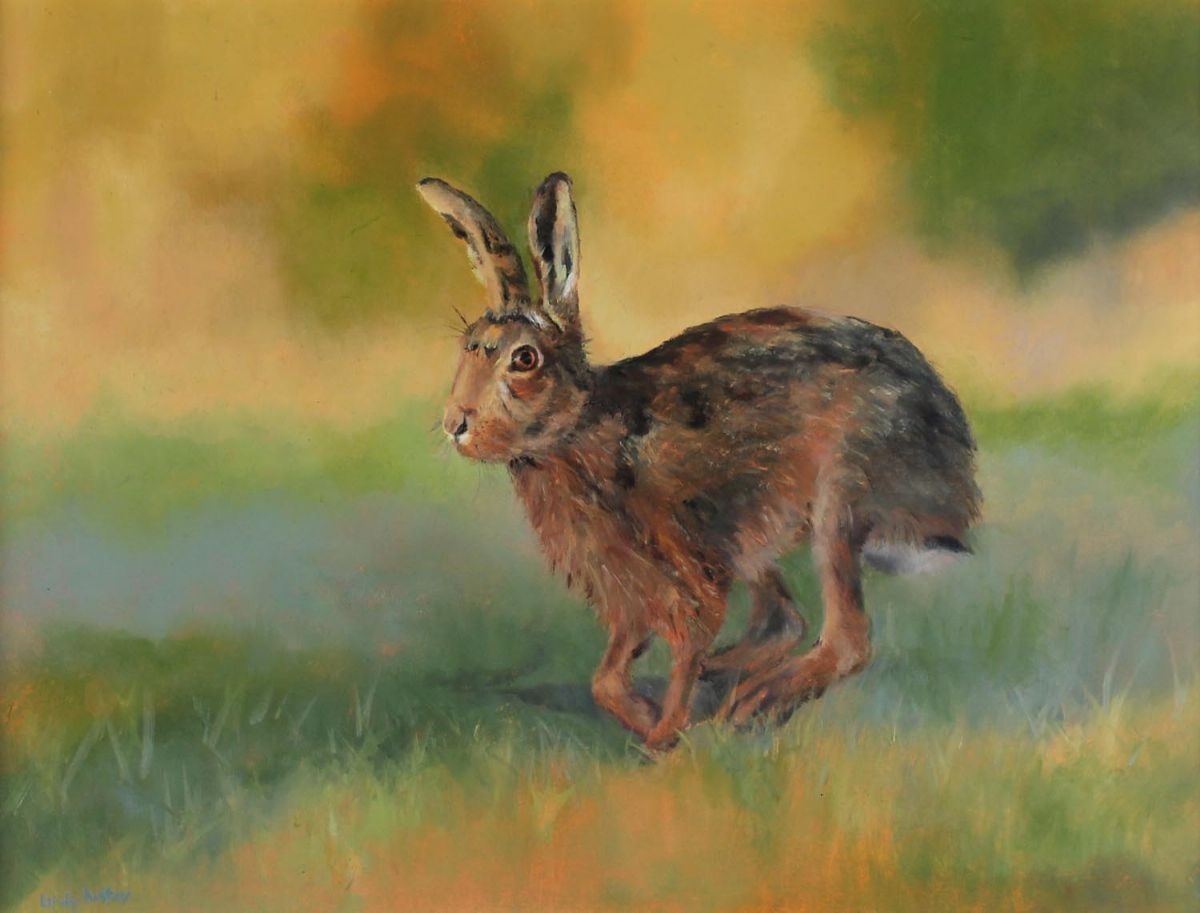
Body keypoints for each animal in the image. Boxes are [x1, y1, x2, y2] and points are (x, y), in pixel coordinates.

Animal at [417, 172, 981, 750]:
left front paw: (666, 735)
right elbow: (606, 678)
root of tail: (956, 480)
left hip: (840, 497)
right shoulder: (630, 596)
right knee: (784, 621)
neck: (579, 427)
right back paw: (733, 680)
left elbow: (688, 641)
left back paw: (754, 702)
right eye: (468, 347)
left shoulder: (683, 566)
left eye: (524, 359)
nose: (455, 423)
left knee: (846, 639)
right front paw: (646, 717)